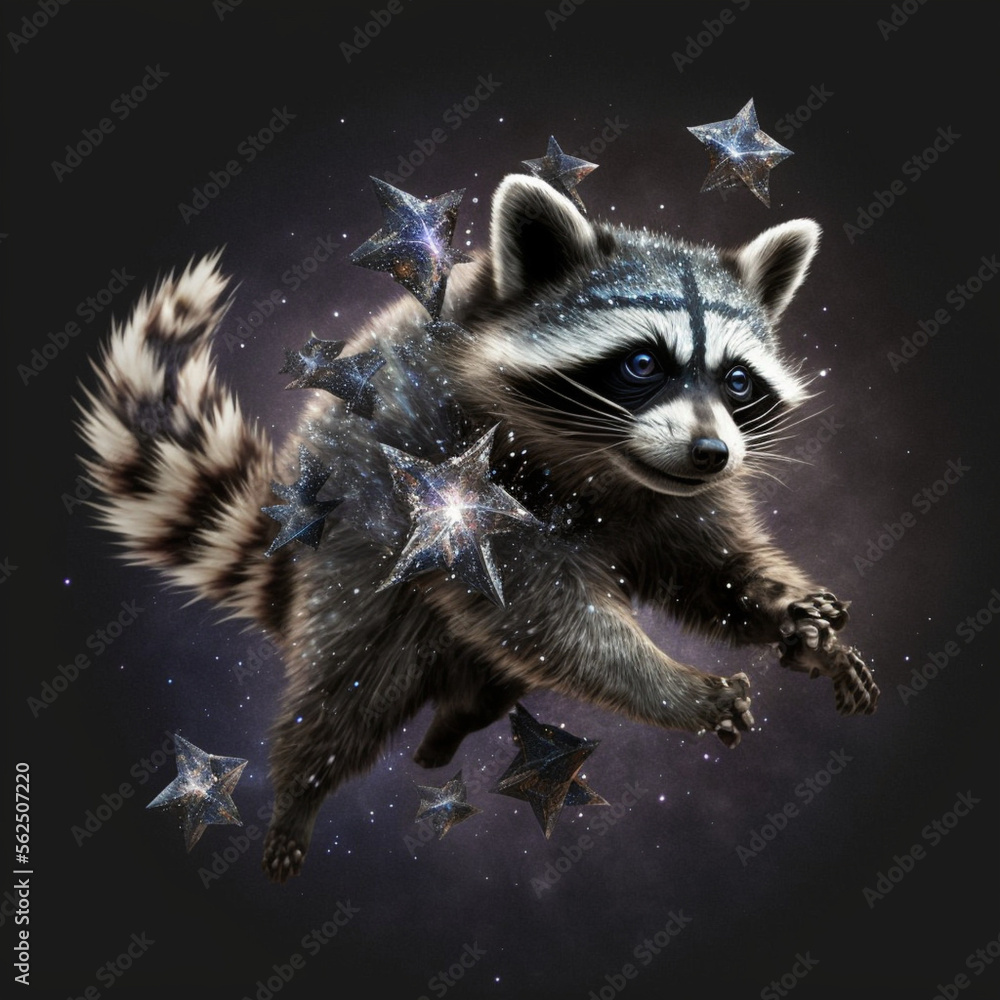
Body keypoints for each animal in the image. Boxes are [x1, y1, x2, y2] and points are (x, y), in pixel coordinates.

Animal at [77, 172, 878, 882]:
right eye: (643, 363)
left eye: (738, 380)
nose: (712, 452)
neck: (609, 465)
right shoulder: (449, 472)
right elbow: (539, 609)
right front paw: (669, 683)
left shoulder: (678, 499)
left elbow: (713, 569)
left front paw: (792, 617)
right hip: (355, 565)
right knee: (343, 690)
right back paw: (298, 792)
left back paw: (453, 723)